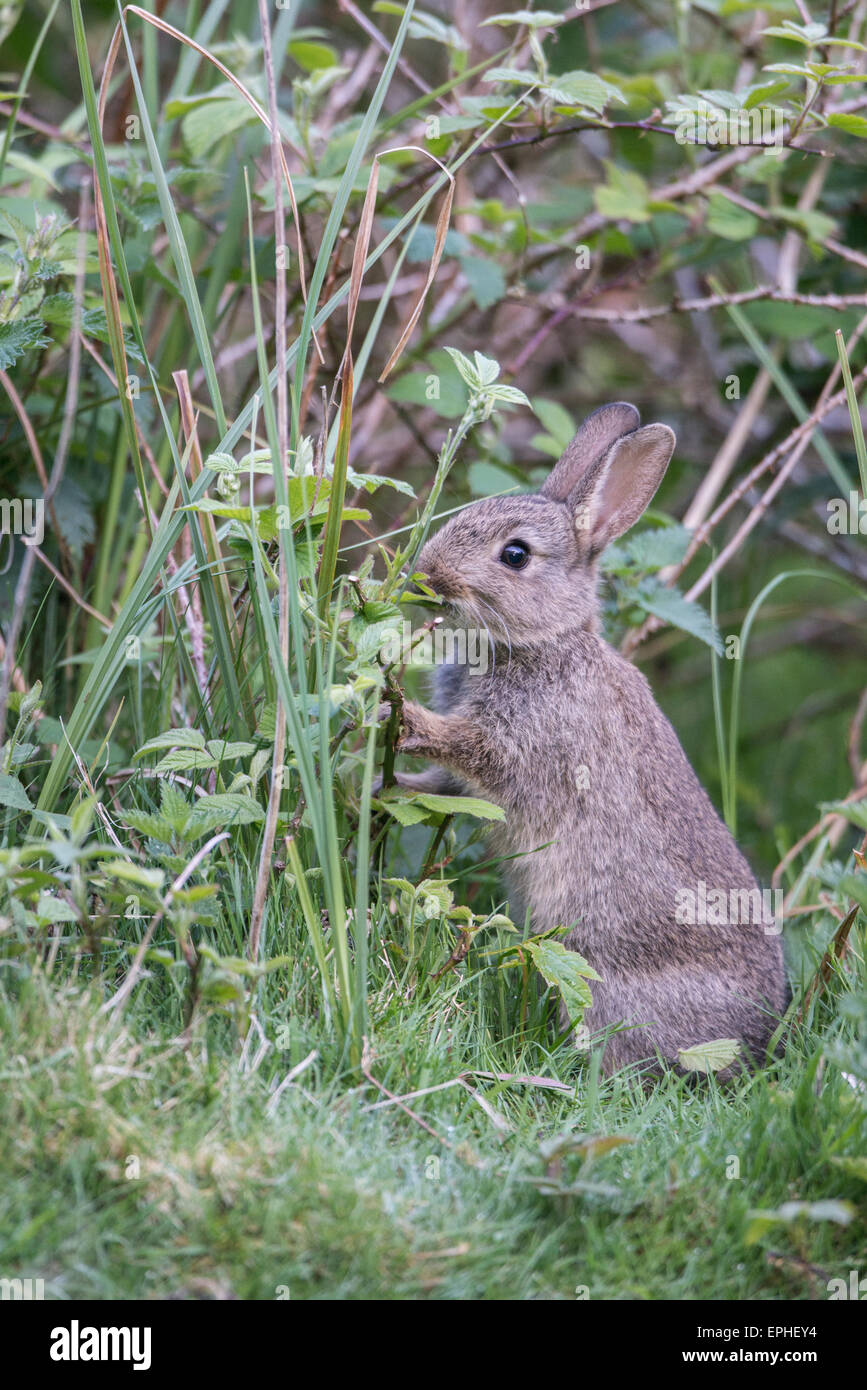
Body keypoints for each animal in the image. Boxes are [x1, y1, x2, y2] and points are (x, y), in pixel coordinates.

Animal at [392, 401, 787, 1077]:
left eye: (515, 555)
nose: (426, 576)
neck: (546, 641)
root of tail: (762, 1038)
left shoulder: (524, 746)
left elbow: (471, 754)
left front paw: (399, 714)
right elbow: (440, 785)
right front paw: (380, 786)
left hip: (606, 983)